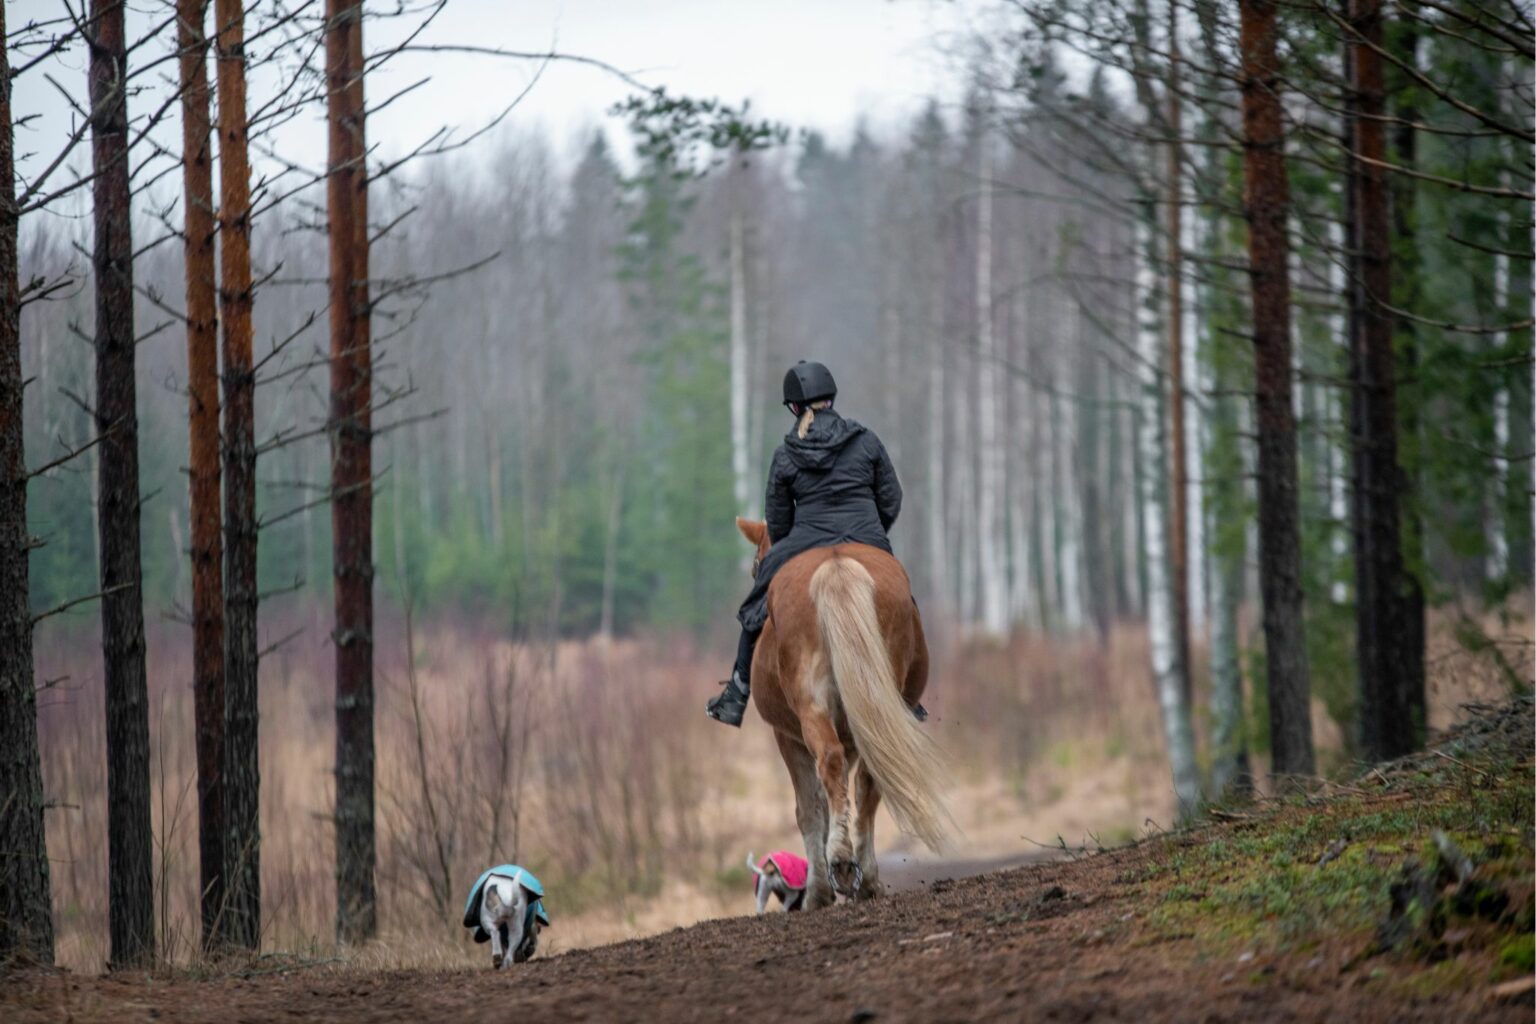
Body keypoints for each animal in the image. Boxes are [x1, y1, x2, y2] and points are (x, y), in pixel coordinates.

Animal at [735, 517, 954, 909]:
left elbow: (810, 809)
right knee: (868, 778)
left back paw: (839, 865)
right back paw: (864, 876)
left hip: (812, 712)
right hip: (873, 715)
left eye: (756, 565)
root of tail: (836, 564)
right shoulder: (851, 734)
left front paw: (817, 891)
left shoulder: (787, 737)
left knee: (833, 769)